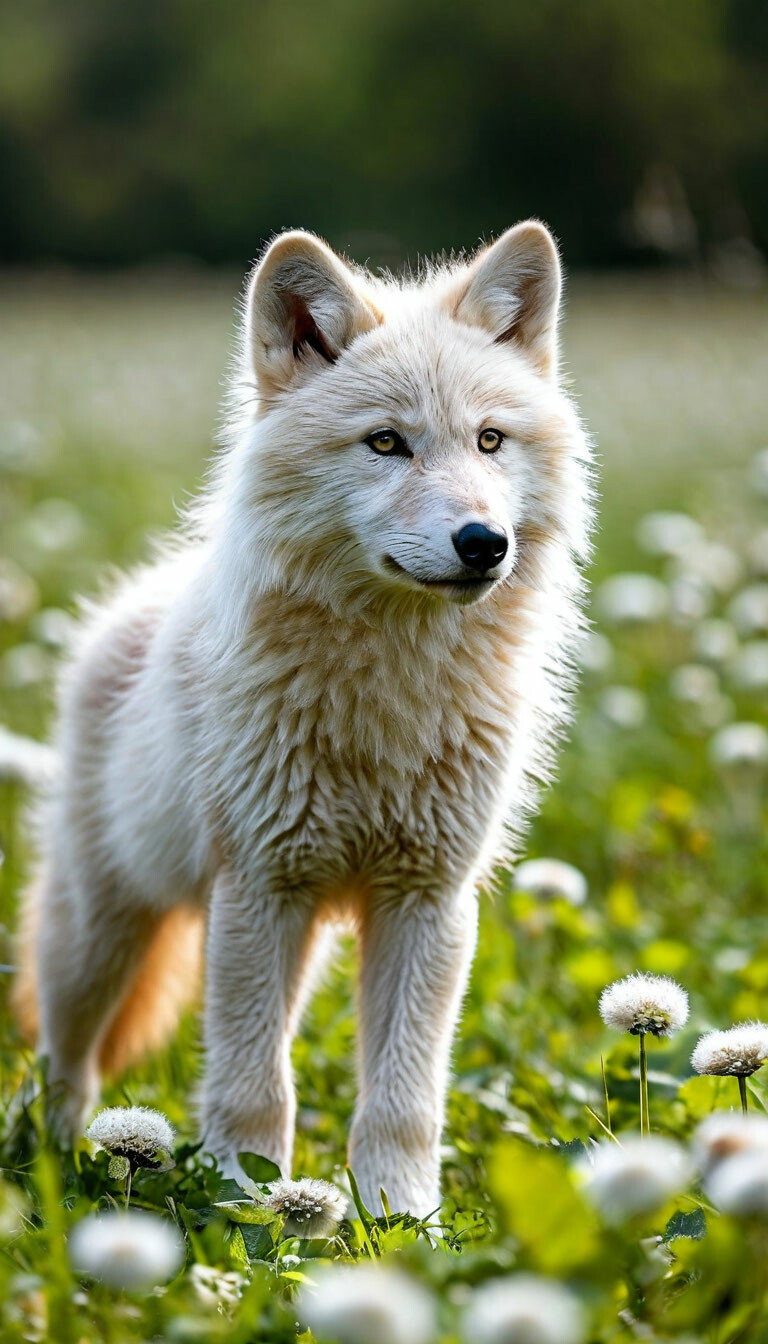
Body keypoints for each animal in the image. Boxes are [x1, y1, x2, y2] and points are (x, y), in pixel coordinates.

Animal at [14, 222, 593, 1216]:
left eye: (490, 440)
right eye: (386, 443)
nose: (485, 543)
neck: (387, 696)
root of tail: (132, 600)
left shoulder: (425, 904)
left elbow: (402, 1100)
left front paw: (400, 1221)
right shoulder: (261, 888)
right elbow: (253, 1089)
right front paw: (246, 1209)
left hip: (304, 939)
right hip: (104, 935)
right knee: (66, 1061)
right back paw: (52, 1169)